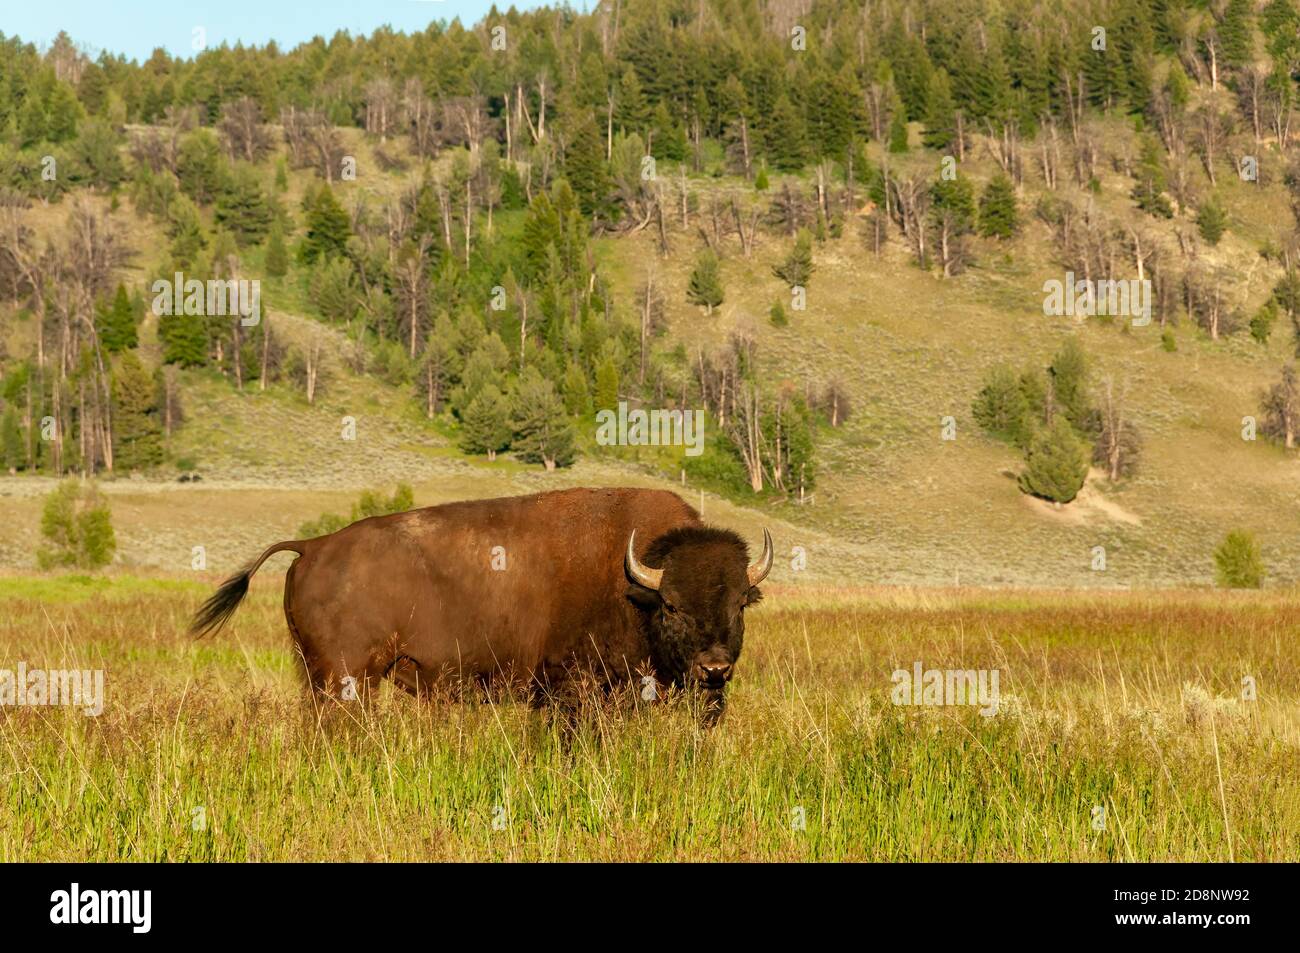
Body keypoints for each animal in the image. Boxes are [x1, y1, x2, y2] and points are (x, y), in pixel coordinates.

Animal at [191, 487, 772, 724]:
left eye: (741, 603)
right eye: (670, 605)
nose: (714, 669)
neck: (631, 581)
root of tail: (313, 546)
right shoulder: (574, 688)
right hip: (347, 678)